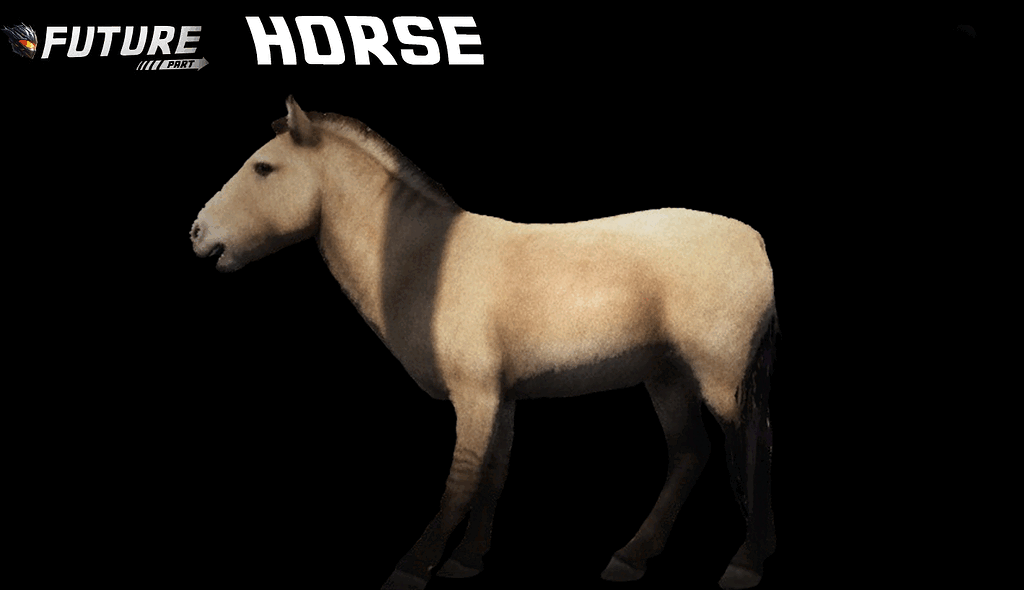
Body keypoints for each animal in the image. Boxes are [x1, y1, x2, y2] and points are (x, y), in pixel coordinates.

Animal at [190, 96, 778, 590]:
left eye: (263, 168)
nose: (198, 233)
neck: (426, 263)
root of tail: (756, 244)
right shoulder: (503, 396)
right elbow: (494, 472)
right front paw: (466, 560)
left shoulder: (474, 394)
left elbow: (462, 479)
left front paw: (413, 568)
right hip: (667, 376)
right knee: (690, 453)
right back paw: (631, 557)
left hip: (720, 377)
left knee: (750, 448)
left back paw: (745, 565)